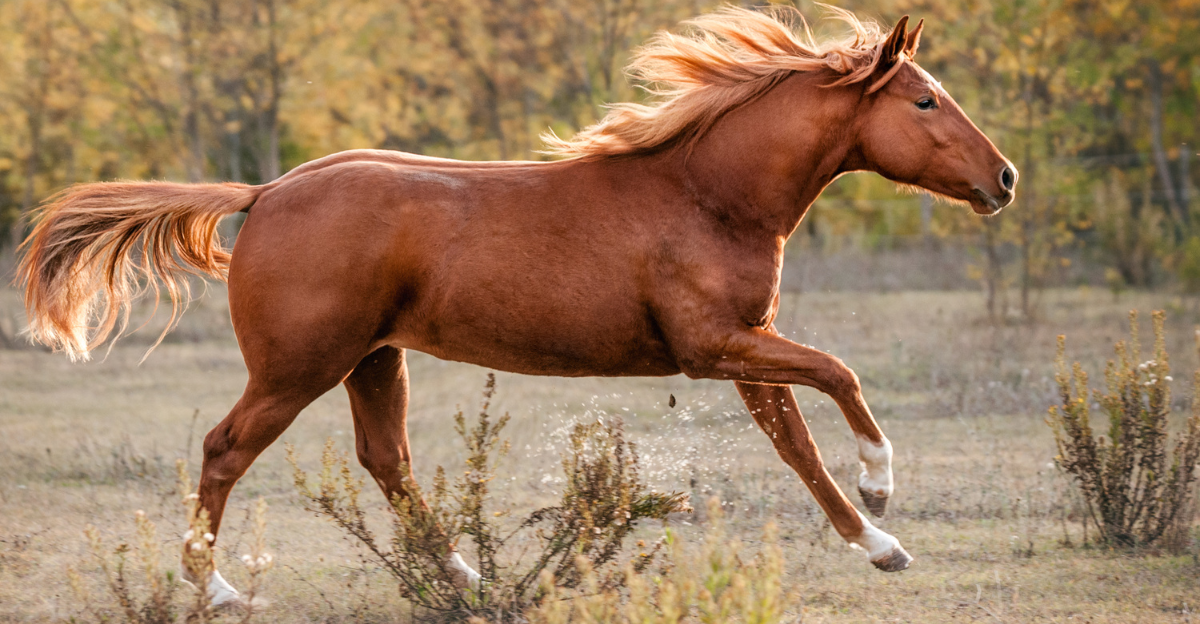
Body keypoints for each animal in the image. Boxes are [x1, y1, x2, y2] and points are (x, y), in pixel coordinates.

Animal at [17, 7, 1016, 603]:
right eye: (926, 101)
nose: (1003, 178)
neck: (706, 194)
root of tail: (264, 193)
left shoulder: (743, 345)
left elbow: (798, 447)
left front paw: (878, 543)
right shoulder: (715, 346)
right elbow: (838, 377)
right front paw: (882, 486)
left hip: (375, 361)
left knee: (387, 460)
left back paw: (463, 575)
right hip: (299, 367)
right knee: (227, 450)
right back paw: (218, 589)